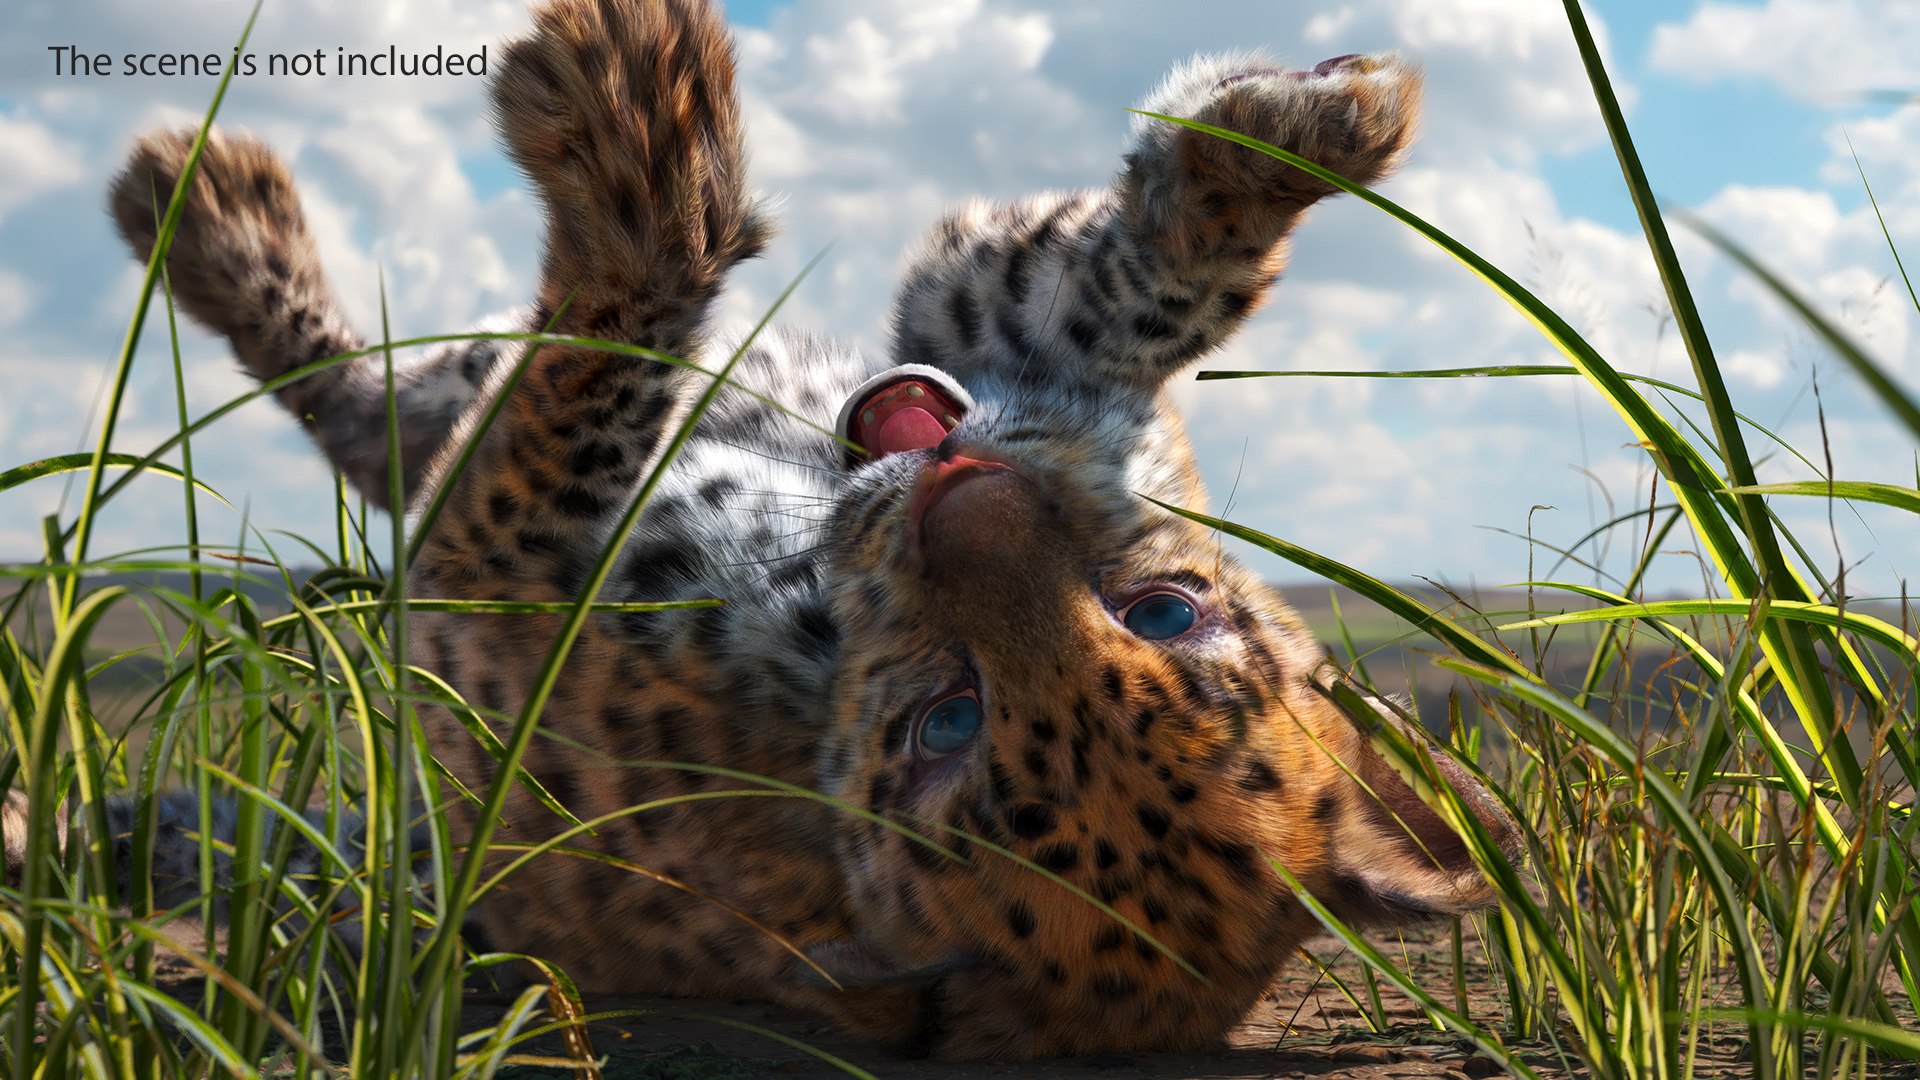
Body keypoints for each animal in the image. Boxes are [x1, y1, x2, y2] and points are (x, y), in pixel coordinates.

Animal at [23, 0, 1526, 1059]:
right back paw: (202, 207)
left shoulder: (487, 585)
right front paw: (1328, 117)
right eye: (1165, 612)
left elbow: (588, 361)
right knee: (377, 401)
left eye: (946, 727)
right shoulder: (1020, 361)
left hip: (395, 842)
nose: (961, 487)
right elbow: (1135, 280)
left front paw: (637, 115)